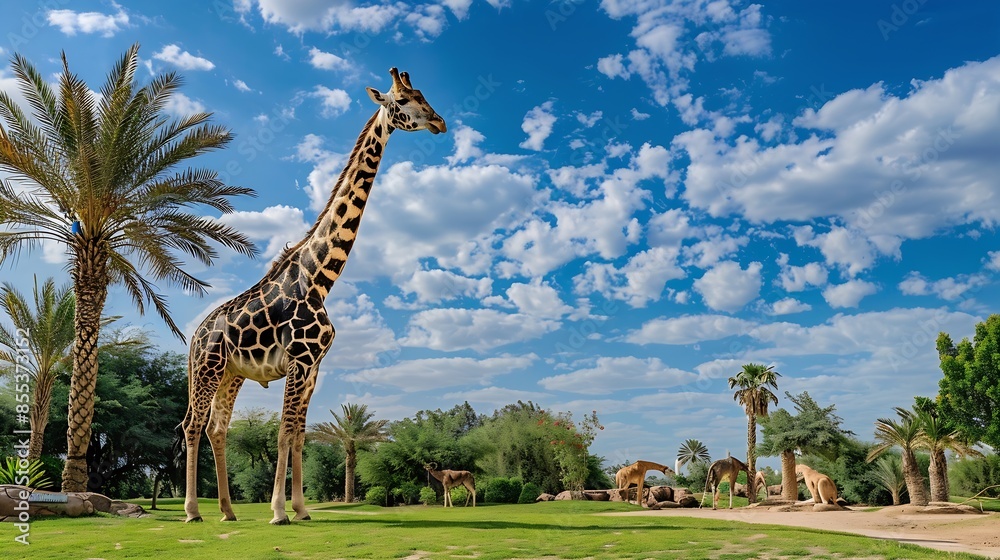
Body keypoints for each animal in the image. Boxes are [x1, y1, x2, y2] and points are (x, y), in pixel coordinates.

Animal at [181, 68, 446, 525]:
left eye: (422, 95)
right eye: (404, 99)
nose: (439, 122)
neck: (320, 279)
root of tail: (195, 336)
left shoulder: (315, 367)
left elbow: (300, 436)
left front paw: (302, 509)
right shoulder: (298, 360)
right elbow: (284, 433)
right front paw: (278, 512)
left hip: (231, 375)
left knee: (217, 428)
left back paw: (229, 512)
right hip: (207, 369)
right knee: (192, 426)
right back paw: (194, 512)